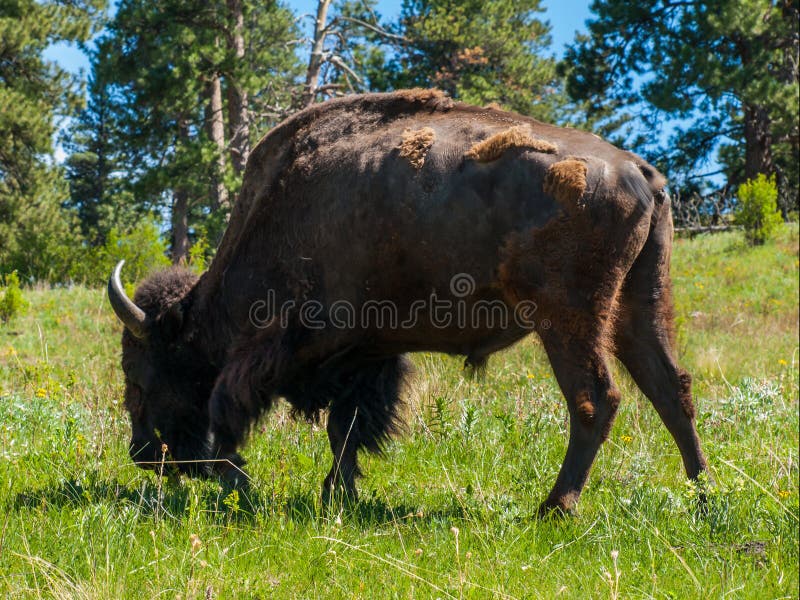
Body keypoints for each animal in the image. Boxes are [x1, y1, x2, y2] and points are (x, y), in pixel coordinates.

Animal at [108, 89, 709, 513]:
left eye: (140, 372)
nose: (143, 455)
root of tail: (641, 173)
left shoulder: (297, 346)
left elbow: (251, 411)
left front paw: (246, 480)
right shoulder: (368, 354)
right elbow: (347, 427)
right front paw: (338, 494)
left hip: (568, 319)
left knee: (595, 401)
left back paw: (555, 508)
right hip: (638, 305)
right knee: (670, 389)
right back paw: (705, 496)